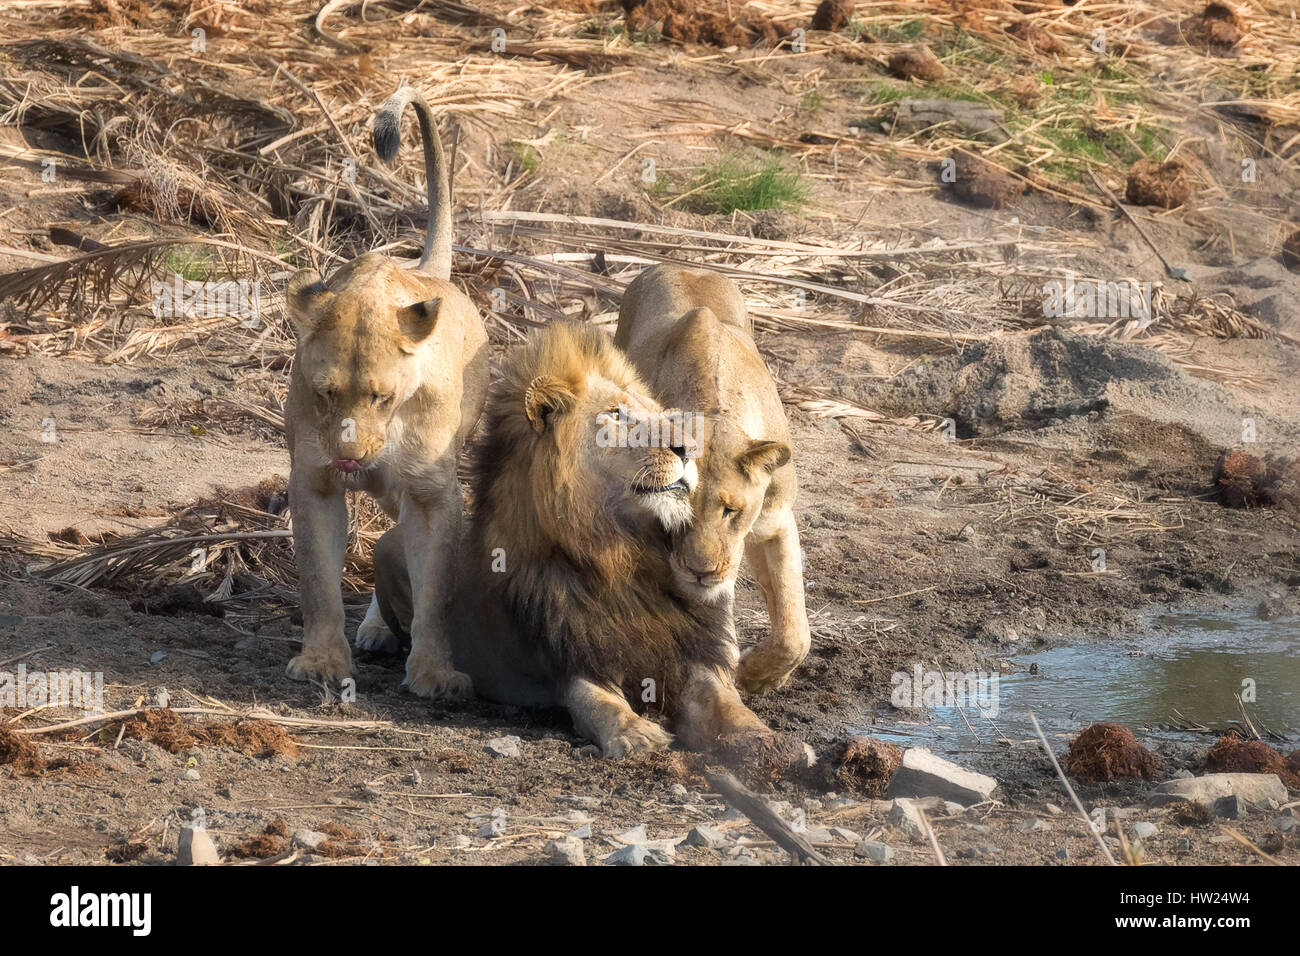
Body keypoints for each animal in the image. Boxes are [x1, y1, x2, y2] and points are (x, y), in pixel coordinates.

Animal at [282, 84, 488, 699]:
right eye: (324, 394)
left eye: (380, 397)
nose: (350, 456)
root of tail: (429, 271)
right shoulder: (315, 479)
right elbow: (318, 582)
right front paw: (322, 662)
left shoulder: (432, 495)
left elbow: (437, 592)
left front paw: (436, 673)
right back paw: (373, 630)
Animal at [371, 323, 787, 757]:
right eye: (616, 415)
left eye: (659, 414)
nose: (689, 448)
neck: (619, 554)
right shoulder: (572, 664)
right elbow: (598, 702)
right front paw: (635, 734)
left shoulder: (692, 657)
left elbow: (725, 701)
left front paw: (765, 740)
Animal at [615, 264, 810, 693]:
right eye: (674, 508)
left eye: (730, 510)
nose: (700, 571)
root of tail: (680, 265)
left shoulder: (775, 521)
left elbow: (793, 629)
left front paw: (757, 675)